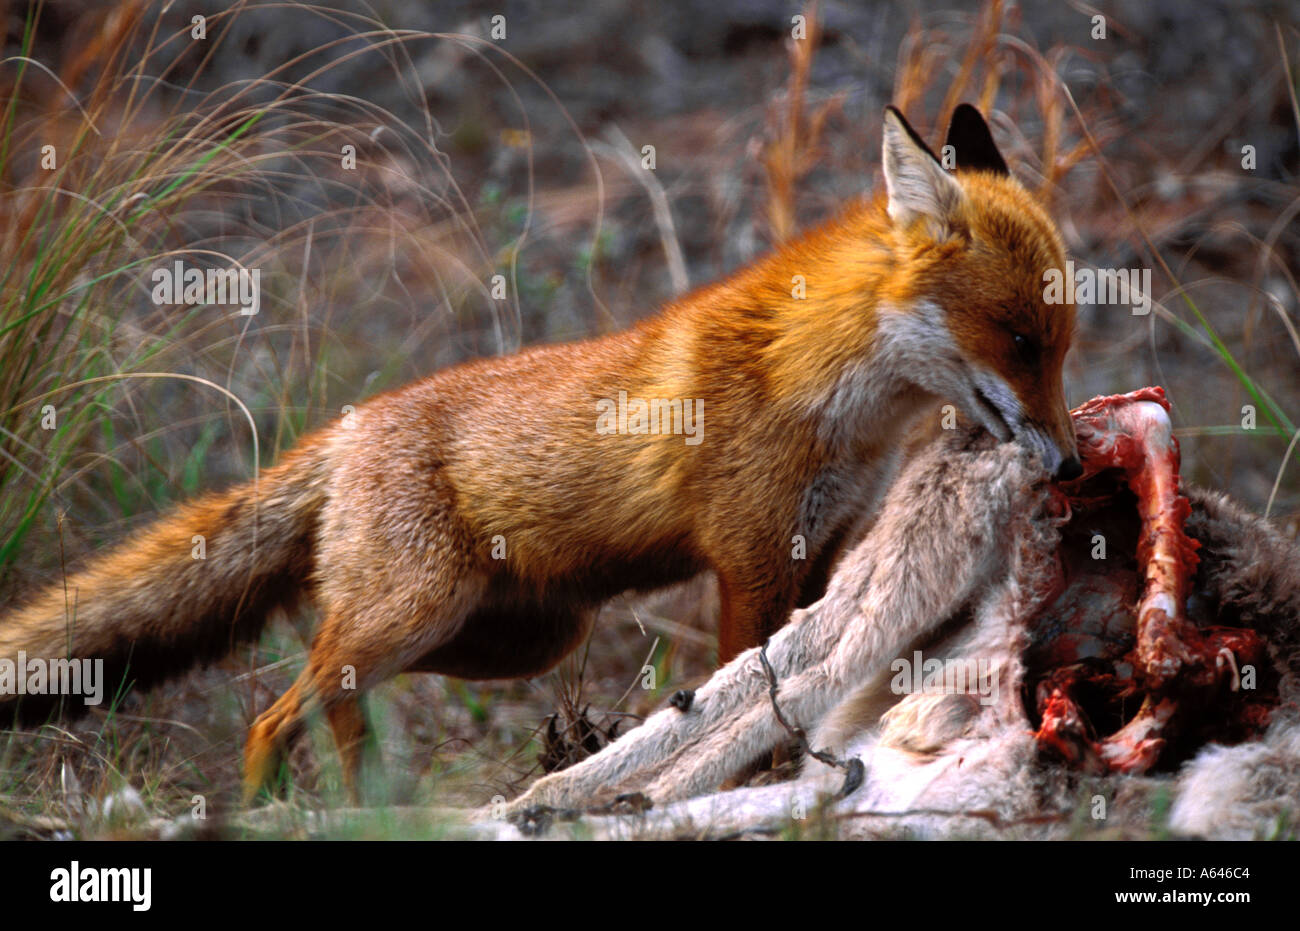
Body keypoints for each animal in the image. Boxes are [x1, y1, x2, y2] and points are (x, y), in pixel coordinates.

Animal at [0, 104, 1079, 803]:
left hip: (511, 634)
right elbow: (755, 700)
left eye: (1062, 346)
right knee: (286, 703)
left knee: (326, 683)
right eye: (1023, 342)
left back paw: (366, 801)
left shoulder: (823, 554)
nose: (1068, 466)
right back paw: (302, 811)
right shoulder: (749, 563)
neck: (828, 388)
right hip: (418, 609)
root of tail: (348, 428)